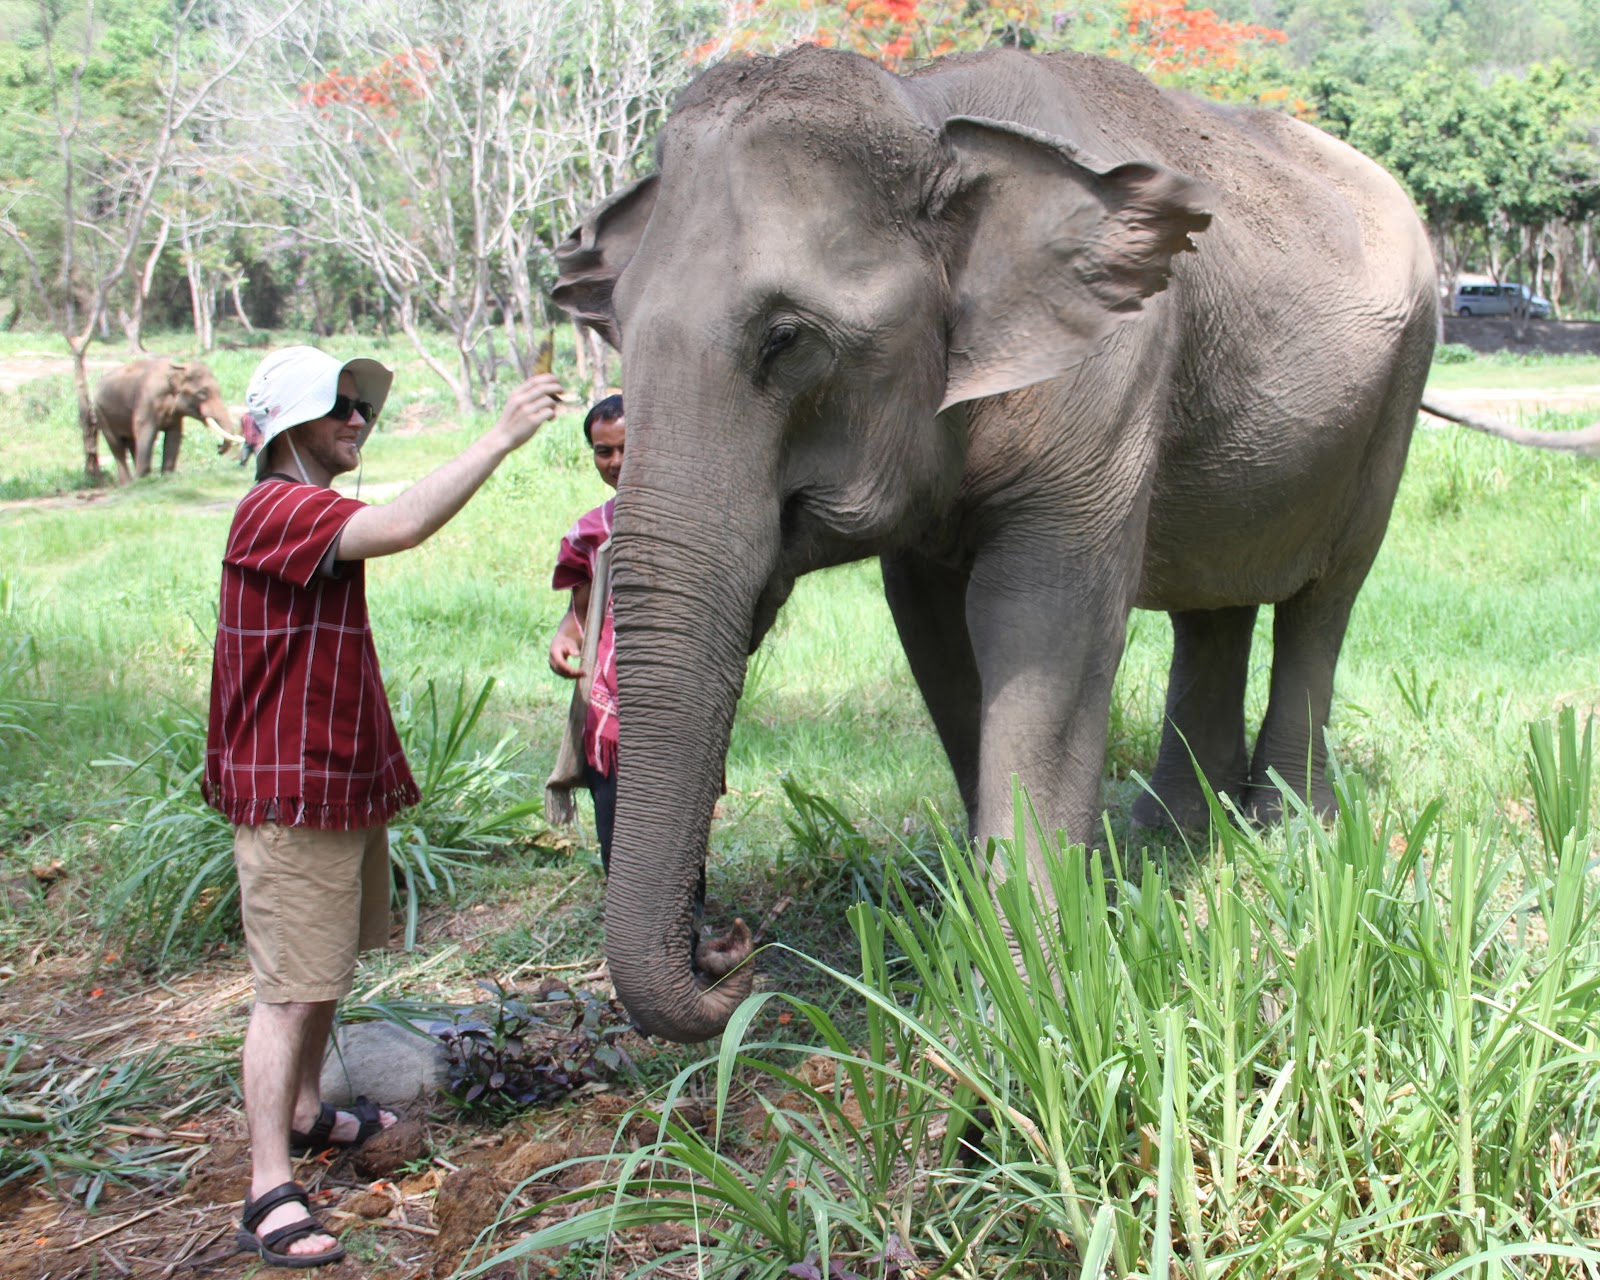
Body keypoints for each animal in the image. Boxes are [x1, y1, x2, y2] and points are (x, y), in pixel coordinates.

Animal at [93, 357, 241, 484]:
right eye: (202, 393)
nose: (218, 447)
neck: (180, 367)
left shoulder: (175, 414)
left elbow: (174, 436)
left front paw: (167, 476)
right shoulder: (146, 403)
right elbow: (146, 434)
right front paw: (141, 481)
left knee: (132, 443)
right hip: (101, 414)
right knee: (117, 447)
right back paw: (129, 483)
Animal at [552, 45, 1441, 1042]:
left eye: (786, 339)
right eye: (616, 328)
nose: (732, 951)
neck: (928, 111)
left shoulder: (1109, 371)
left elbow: (1042, 618)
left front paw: (1033, 989)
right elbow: (934, 627)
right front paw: (996, 932)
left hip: (1400, 388)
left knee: (1326, 599)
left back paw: (1287, 830)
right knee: (1212, 608)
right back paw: (1170, 831)